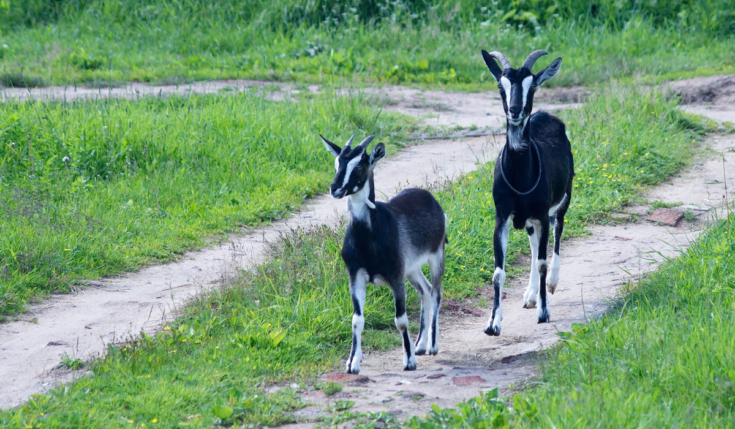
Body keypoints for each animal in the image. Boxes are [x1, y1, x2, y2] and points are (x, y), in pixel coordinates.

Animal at [320, 134, 447, 373]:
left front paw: (409, 362)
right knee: (425, 291)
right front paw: (352, 363)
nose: (335, 188)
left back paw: (432, 346)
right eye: (337, 163)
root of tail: (427, 196)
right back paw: (420, 345)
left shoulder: (395, 276)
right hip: (412, 269)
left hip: (436, 255)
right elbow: (356, 320)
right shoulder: (356, 276)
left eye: (360, 165)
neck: (368, 237)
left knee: (435, 293)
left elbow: (401, 320)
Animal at [480, 49, 574, 336]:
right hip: (530, 220)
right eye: (501, 86)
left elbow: (542, 261)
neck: (520, 177)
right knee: (534, 245)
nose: (515, 110)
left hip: (563, 198)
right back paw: (531, 295)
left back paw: (551, 284)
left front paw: (544, 312)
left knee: (557, 231)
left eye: (532, 86)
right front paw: (493, 324)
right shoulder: (502, 217)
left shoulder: (542, 213)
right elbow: (498, 272)